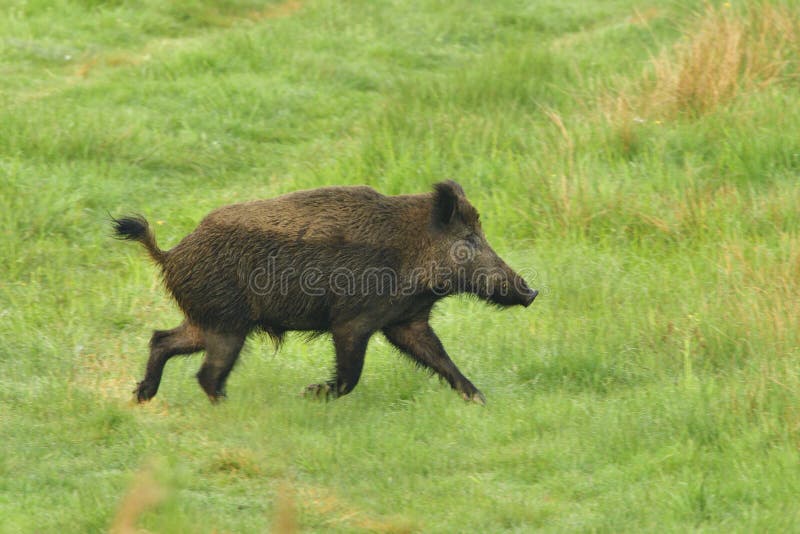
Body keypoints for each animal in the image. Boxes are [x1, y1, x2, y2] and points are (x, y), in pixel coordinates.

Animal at [113, 180, 538, 404]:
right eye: (469, 240)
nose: (531, 291)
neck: (412, 256)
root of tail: (169, 255)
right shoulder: (352, 321)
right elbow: (351, 376)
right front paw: (309, 393)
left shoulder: (406, 321)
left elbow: (441, 358)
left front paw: (479, 400)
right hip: (226, 325)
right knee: (206, 373)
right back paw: (229, 410)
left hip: (207, 320)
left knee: (162, 339)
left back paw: (143, 396)